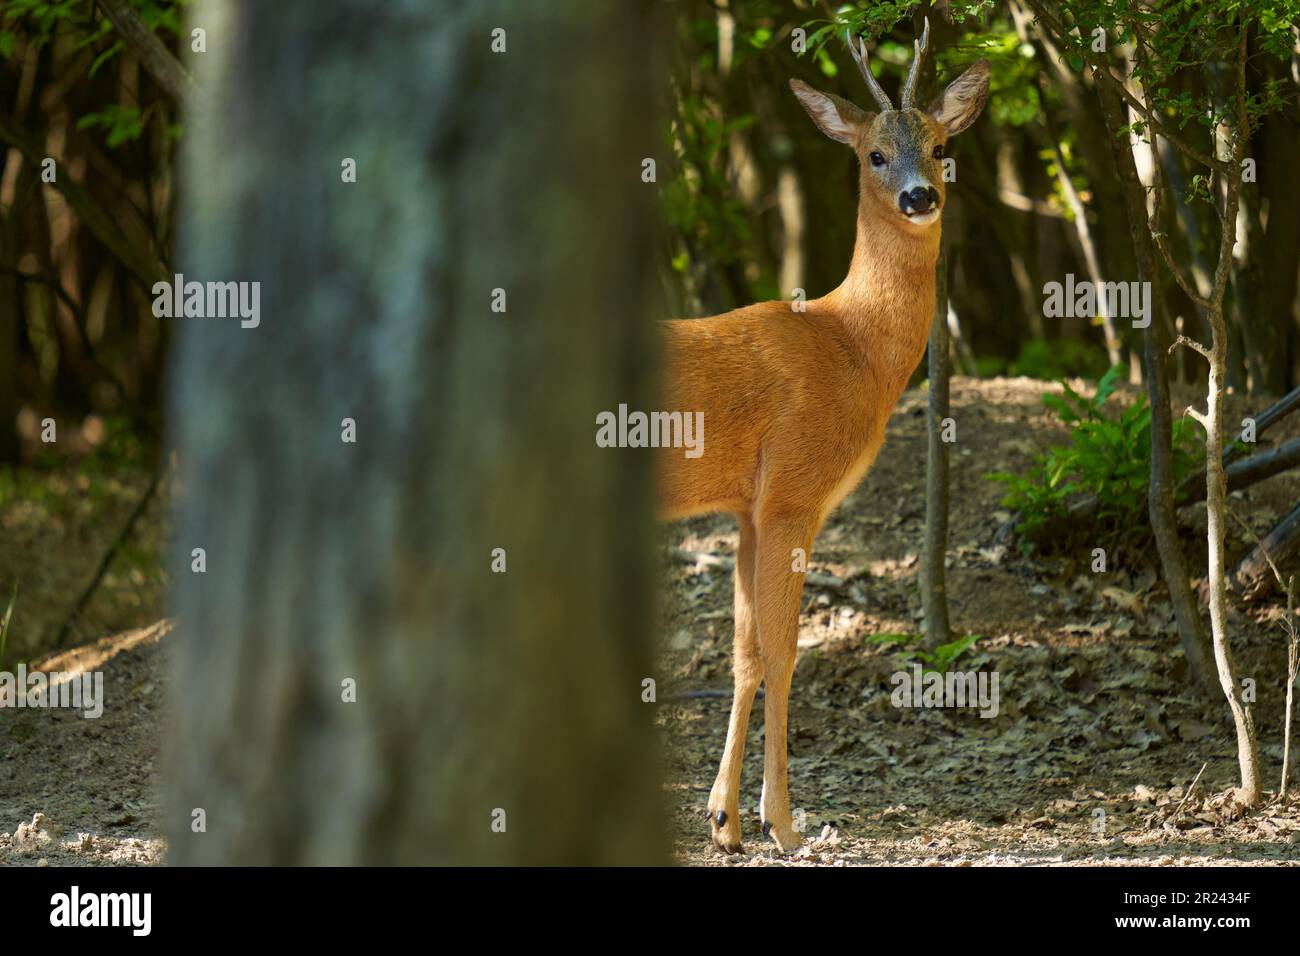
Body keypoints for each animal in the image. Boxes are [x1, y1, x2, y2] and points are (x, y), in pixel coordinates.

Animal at [658, 21, 989, 854]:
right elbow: (783, 653)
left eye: (939, 143)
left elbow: (743, 653)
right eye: (873, 153)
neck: (850, 345)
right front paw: (780, 823)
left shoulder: (747, 507)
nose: (920, 196)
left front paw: (724, 821)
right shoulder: (793, 492)